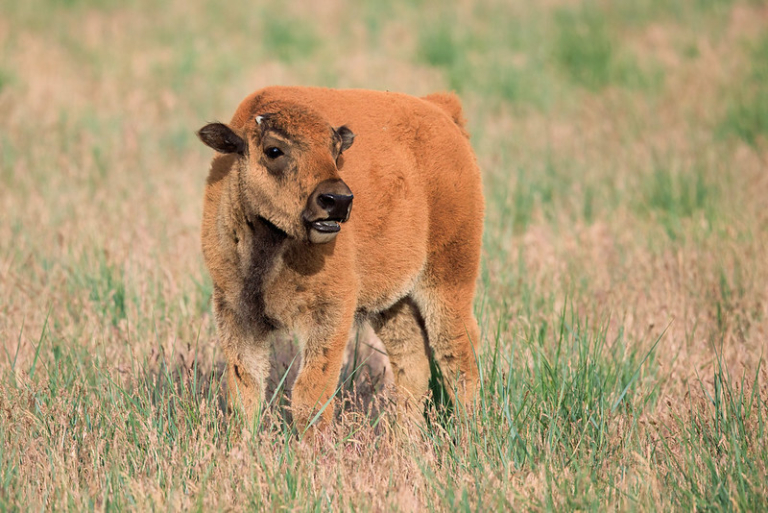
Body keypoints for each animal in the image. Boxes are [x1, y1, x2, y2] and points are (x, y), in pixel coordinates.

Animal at [197, 86, 484, 431]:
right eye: (274, 150)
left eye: (335, 151)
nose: (338, 200)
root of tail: (440, 110)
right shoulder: (236, 312)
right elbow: (246, 392)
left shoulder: (330, 310)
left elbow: (310, 393)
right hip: (393, 302)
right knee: (412, 362)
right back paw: (406, 441)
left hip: (449, 281)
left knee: (457, 358)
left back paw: (470, 436)